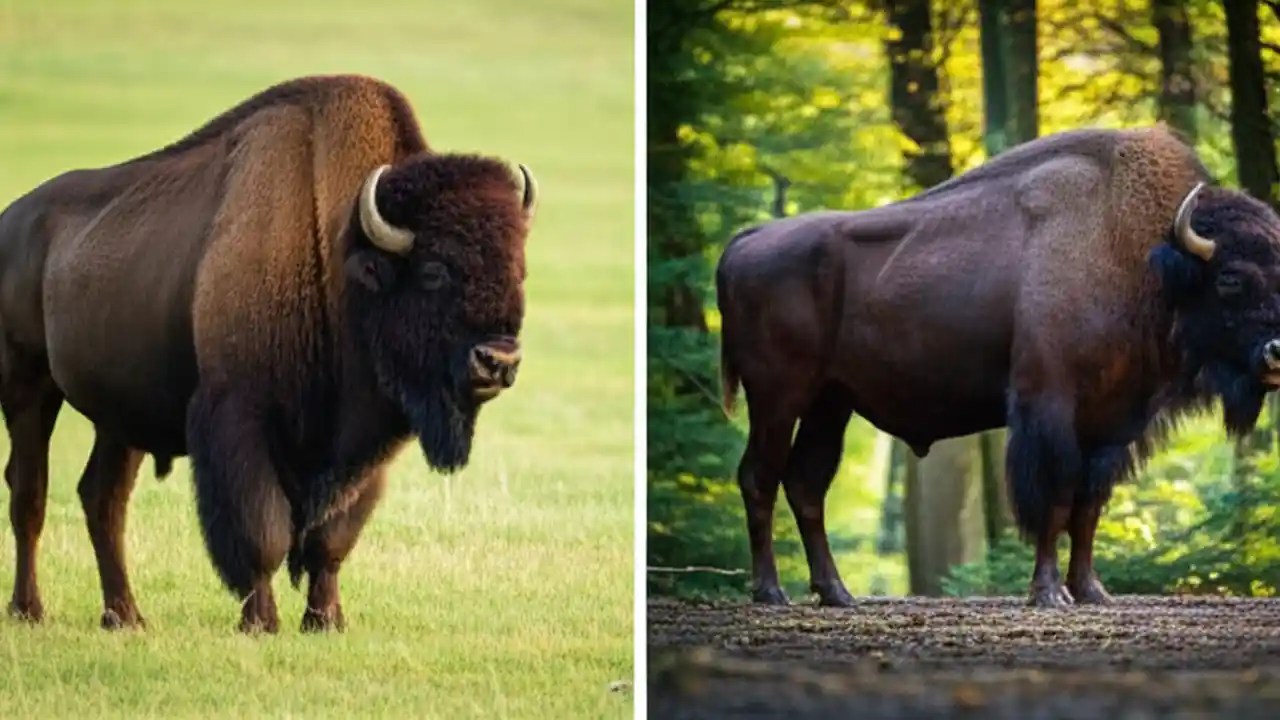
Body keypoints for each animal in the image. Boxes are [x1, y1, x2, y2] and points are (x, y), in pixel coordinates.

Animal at [0, 75, 536, 632]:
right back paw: (29, 609)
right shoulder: (240, 421)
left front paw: (325, 620)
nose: (498, 361)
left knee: (102, 498)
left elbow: (331, 538)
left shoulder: (361, 447)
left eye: (519, 271)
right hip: (28, 387)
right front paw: (261, 621)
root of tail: (11, 220)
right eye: (434, 271)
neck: (340, 255)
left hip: (120, 419)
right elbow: (263, 530)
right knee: (29, 493)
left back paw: (125, 615)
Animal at [717, 126, 1280, 607]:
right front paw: (1049, 594)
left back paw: (837, 593)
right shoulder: (1048, 408)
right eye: (1230, 277)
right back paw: (771, 592)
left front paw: (1091, 591)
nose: (1276, 352)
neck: (1140, 255)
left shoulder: (1112, 426)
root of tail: (746, 240)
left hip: (830, 405)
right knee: (758, 477)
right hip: (777, 399)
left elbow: (1088, 508)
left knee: (805, 485)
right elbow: (1054, 502)